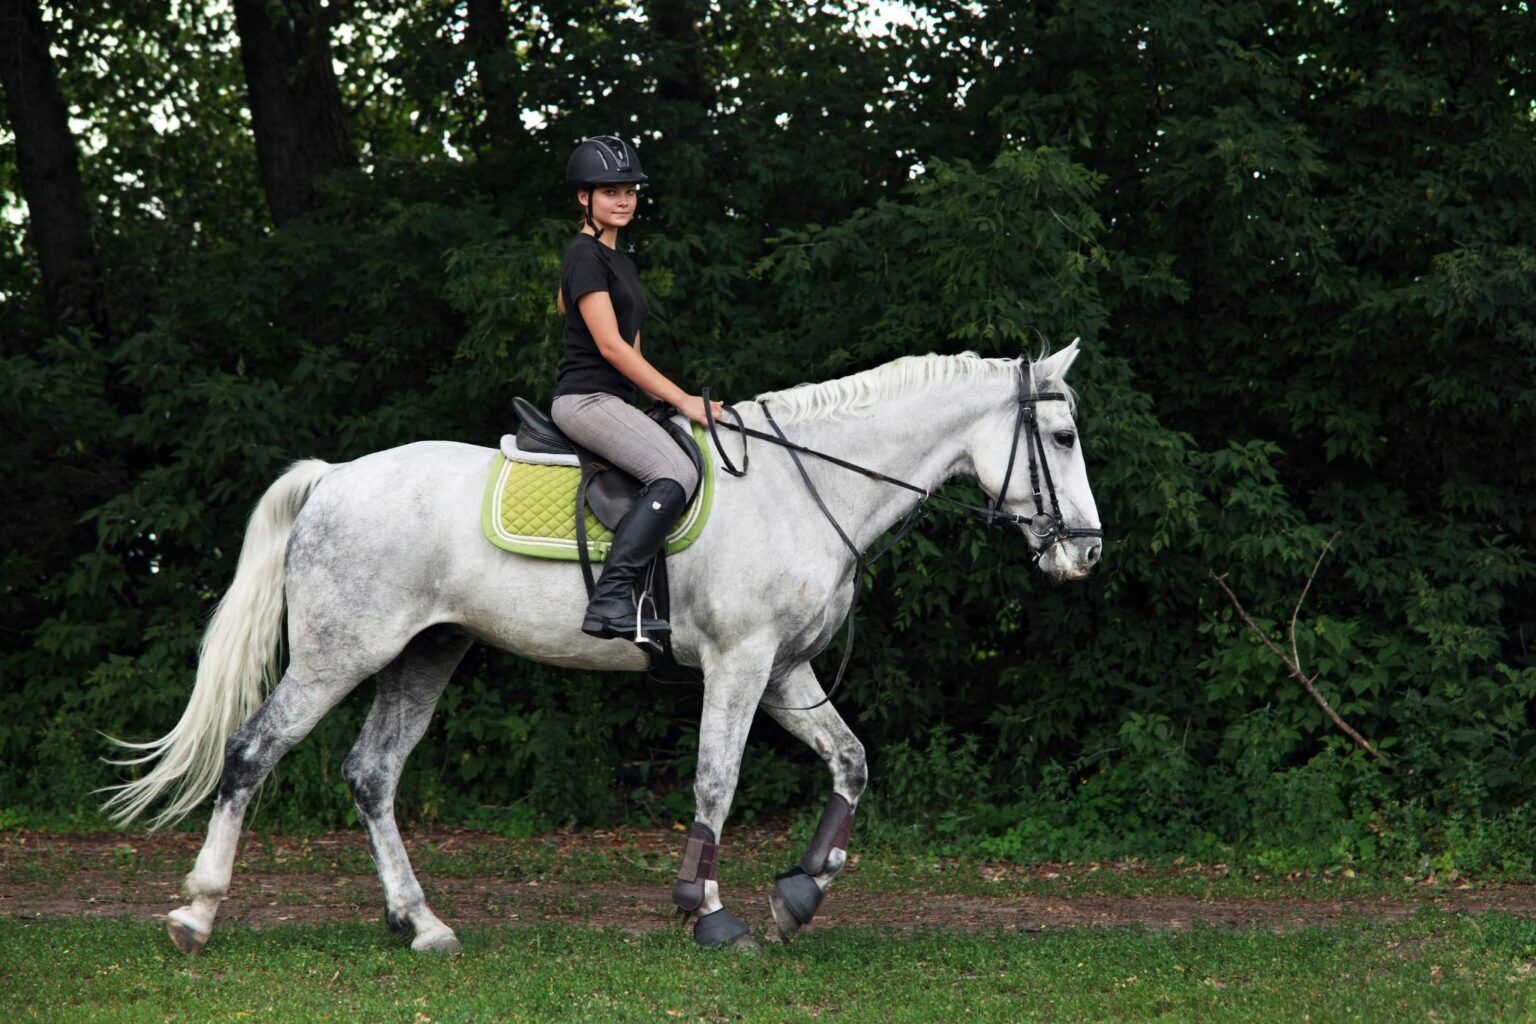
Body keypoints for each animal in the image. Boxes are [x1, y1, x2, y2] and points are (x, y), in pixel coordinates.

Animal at [101, 343, 1102, 953]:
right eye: (1061, 435)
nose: (1086, 554)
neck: (803, 487)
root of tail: (334, 478)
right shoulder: (740, 664)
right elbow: (716, 782)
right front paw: (707, 912)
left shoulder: (786, 671)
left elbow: (851, 762)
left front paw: (801, 894)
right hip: (334, 656)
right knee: (253, 754)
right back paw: (197, 912)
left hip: (426, 654)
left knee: (371, 775)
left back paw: (421, 923)